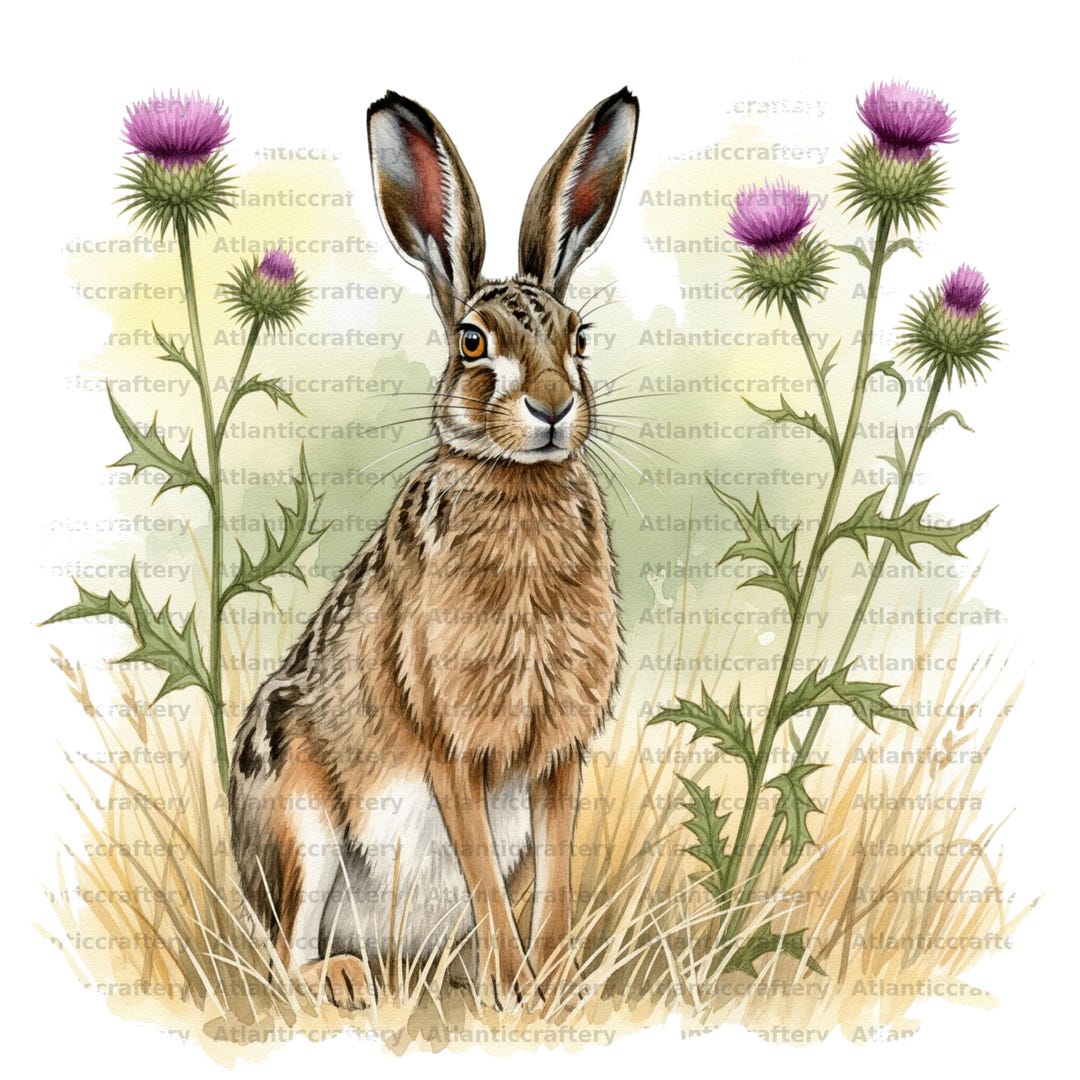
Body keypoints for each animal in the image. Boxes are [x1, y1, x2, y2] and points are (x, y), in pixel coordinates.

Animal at [229, 87, 638, 1010]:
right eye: (472, 344)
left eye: (580, 338)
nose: (554, 407)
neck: (518, 484)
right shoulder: (453, 741)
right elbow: (482, 867)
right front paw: (513, 985)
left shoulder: (560, 751)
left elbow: (555, 871)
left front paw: (553, 980)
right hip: (297, 817)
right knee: (283, 952)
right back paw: (344, 977)